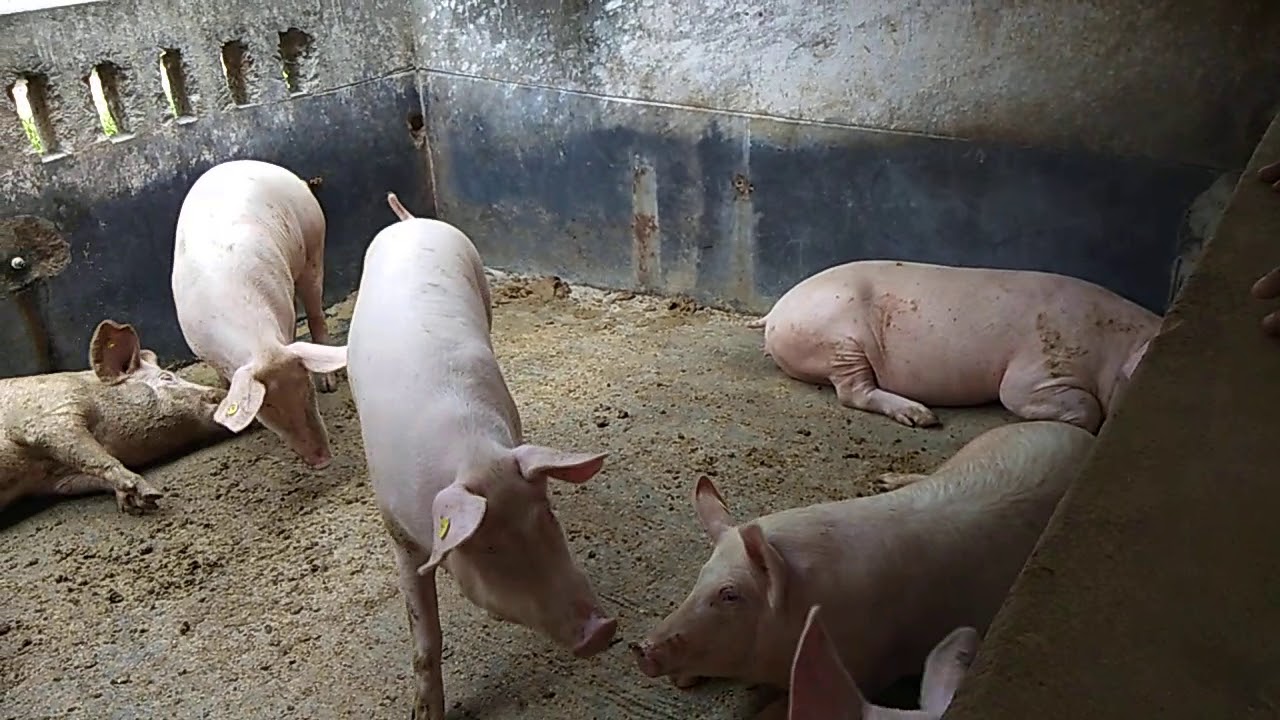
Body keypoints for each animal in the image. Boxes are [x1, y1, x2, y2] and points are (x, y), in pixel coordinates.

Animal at [0, 319, 230, 513]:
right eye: (167, 377)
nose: (221, 393)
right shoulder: (50, 418)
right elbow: (95, 458)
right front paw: (151, 494)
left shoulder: (56, 479)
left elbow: (85, 476)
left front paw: (134, 504)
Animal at [171, 159, 347, 469]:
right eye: (268, 406)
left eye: (306, 387)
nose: (323, 460)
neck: (261, 346)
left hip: (314, 246)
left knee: (316, 311)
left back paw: (330, 383)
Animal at [345, 192, 617, 720]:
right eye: (488, 547)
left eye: (547, 516)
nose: (603, 630)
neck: (469, 452)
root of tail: (410, 222)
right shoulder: (397, 530)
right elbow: (424, 633)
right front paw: (424, 714)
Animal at [747, 260, 1160, 434]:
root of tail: (776, 312)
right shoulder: (1039, 369)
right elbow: (1020, 395)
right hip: (840, 340)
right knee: (853, 393)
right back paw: (922, 417)